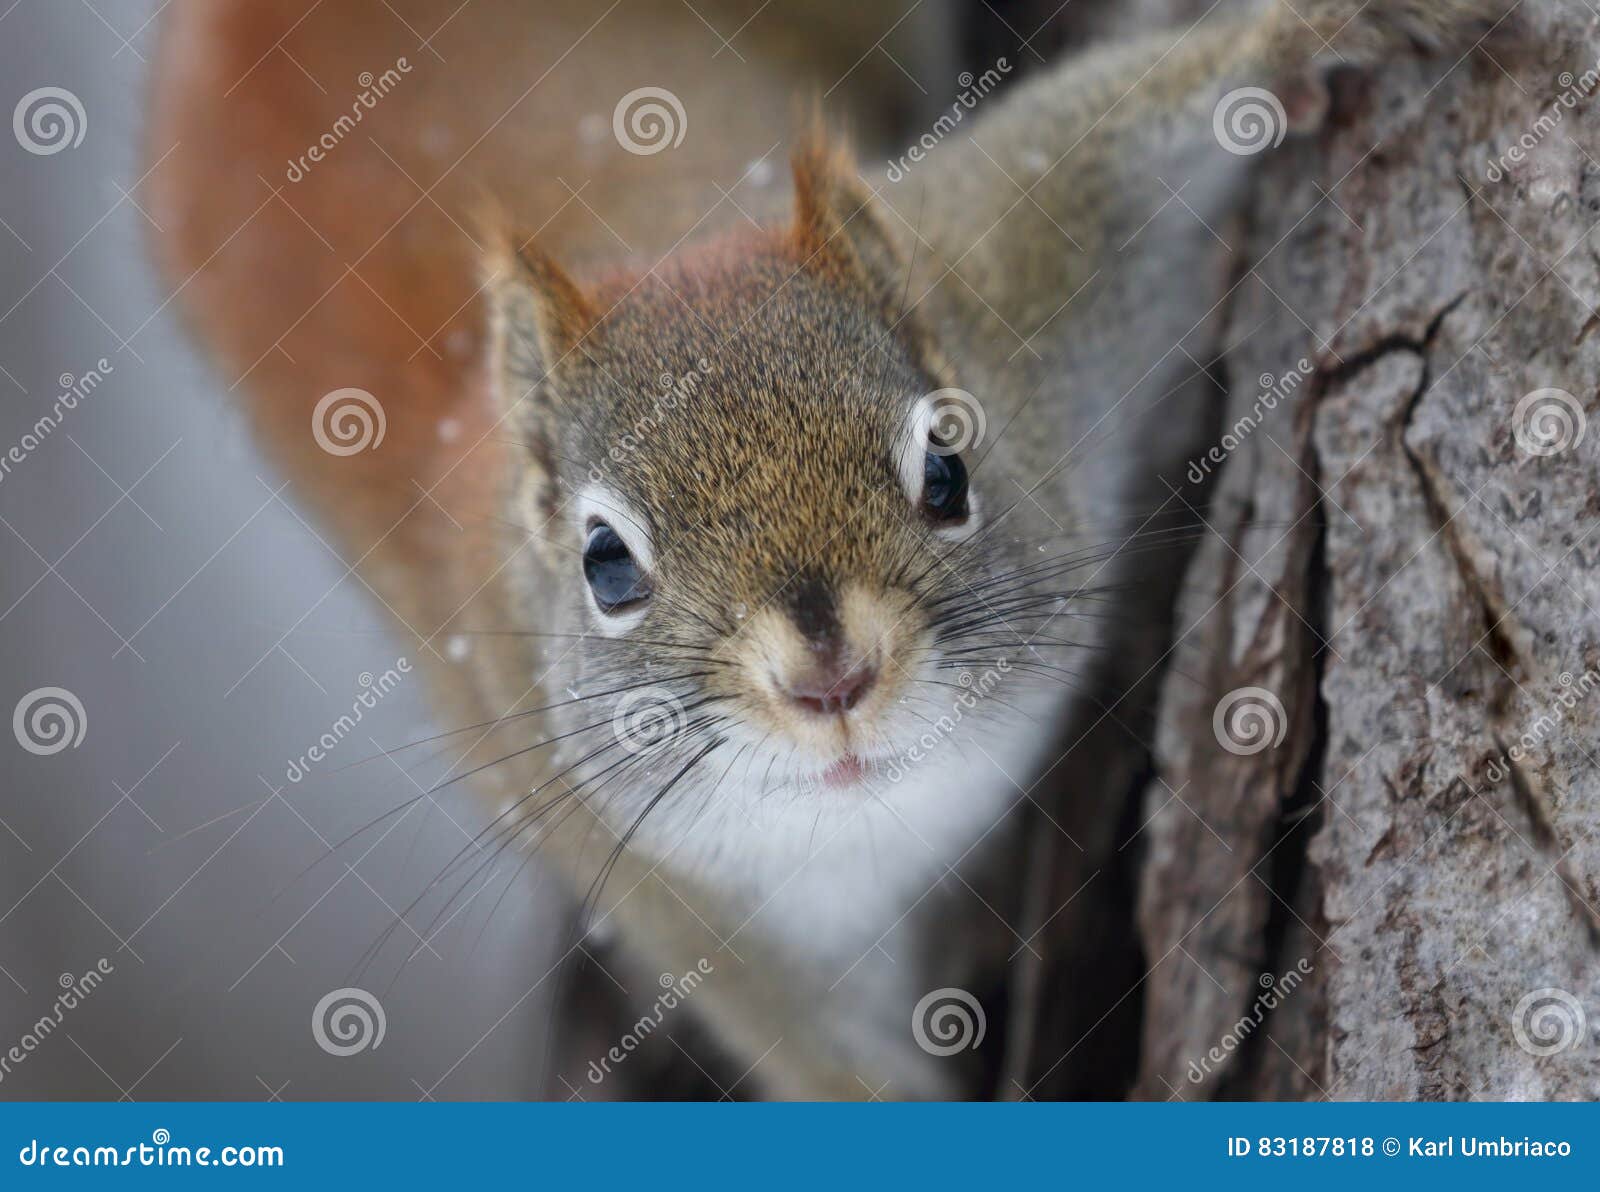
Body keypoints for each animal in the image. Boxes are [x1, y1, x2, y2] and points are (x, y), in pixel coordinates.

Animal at [147, 0, 1512, 1098]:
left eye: (948, 466)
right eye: (604, 565)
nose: (829, 676)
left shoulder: (1011, 271)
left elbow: (1130, 136)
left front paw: (1310, 34)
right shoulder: (676, 898)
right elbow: (837, 1070)